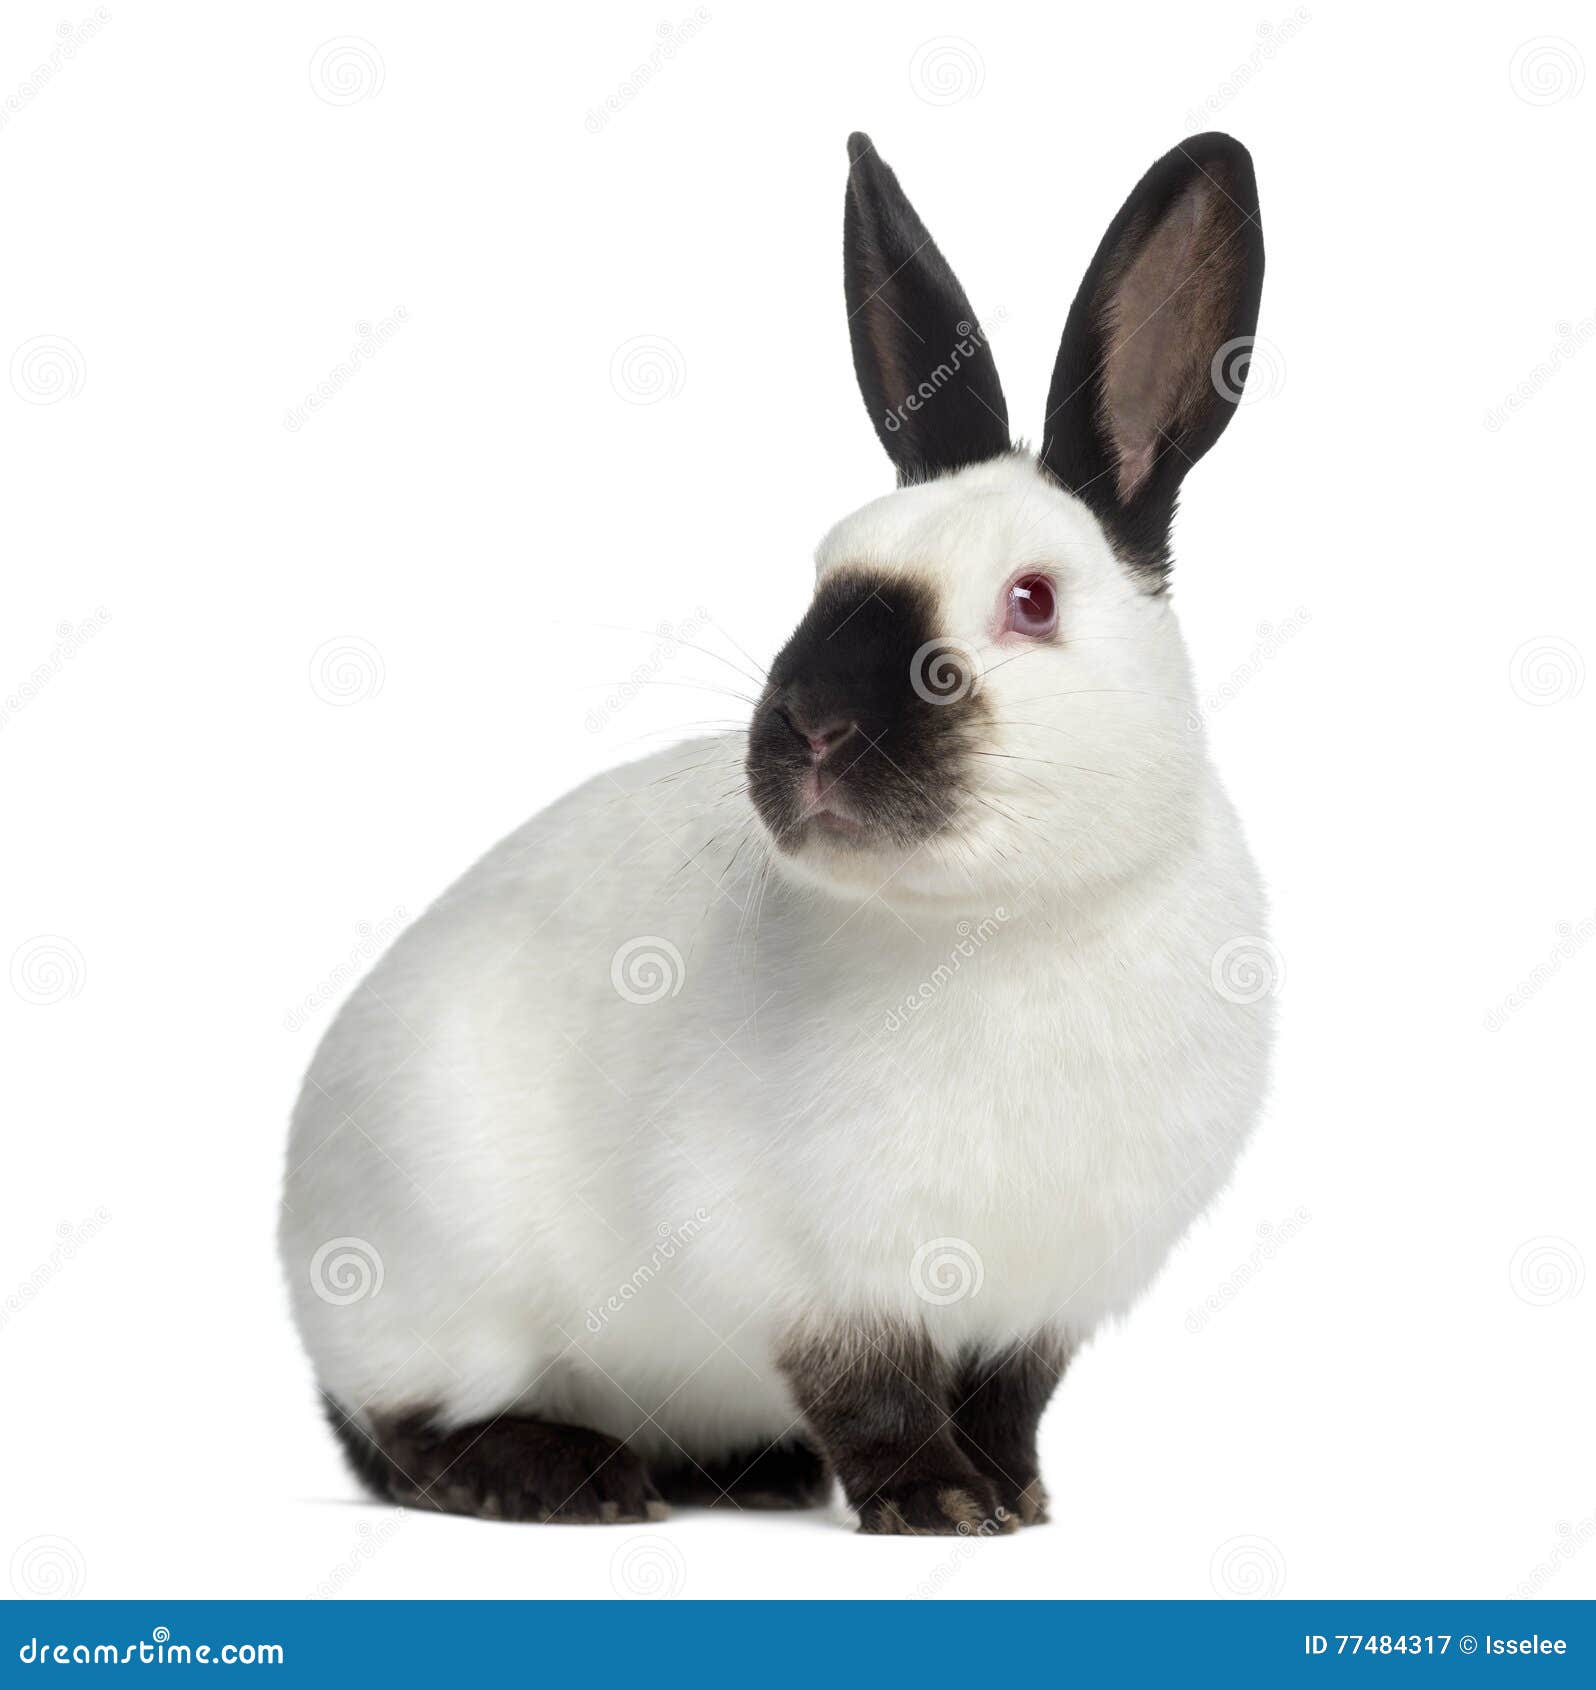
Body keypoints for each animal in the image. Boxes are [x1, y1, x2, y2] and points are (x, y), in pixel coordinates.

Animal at [280, 130, 1272, 1535]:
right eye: (822, 574)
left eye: (1032, 602)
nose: (809, 725)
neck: (1004, 924)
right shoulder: (817, 1274)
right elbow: (875, 1395)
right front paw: (937, 1505)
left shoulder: (1044, 1299)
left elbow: (1006, 1403)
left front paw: (1016, 1498)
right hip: (436, 1286)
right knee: (398, 1432)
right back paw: (569, 1479)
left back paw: (754, 1473)